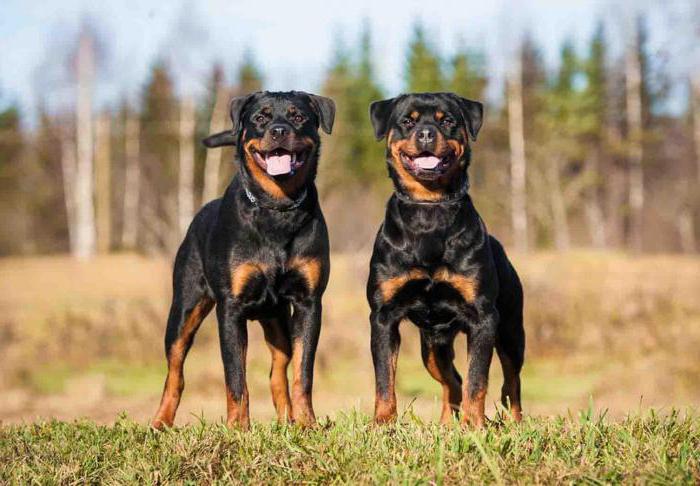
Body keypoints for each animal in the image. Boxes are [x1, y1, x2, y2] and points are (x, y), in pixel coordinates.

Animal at [152, 90, 336, 430]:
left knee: (278, 369)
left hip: (277, 318)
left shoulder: (308, 301)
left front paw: (307, 423)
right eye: (261, 117)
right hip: (185, 306)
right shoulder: (231, 307)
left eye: (298, 116)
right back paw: (160, 421)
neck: (278, 208)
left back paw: (287, 420)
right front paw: (238, 427)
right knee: (175, 369)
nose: (279, 130)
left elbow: (302, 373)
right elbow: (236, 377)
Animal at [370, 91, 524, 426]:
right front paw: (383, 423)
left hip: (510, 330)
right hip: (432, 344)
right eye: (407, 121)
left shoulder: (483, 317)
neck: (429, 209)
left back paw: (514, 422)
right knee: (452, 379)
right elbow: (384, 379)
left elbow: (478, 379)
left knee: (511, 381)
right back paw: (445, 425)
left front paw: (474, 424)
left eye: (448, 121)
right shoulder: (383, 316)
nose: (427, 133)